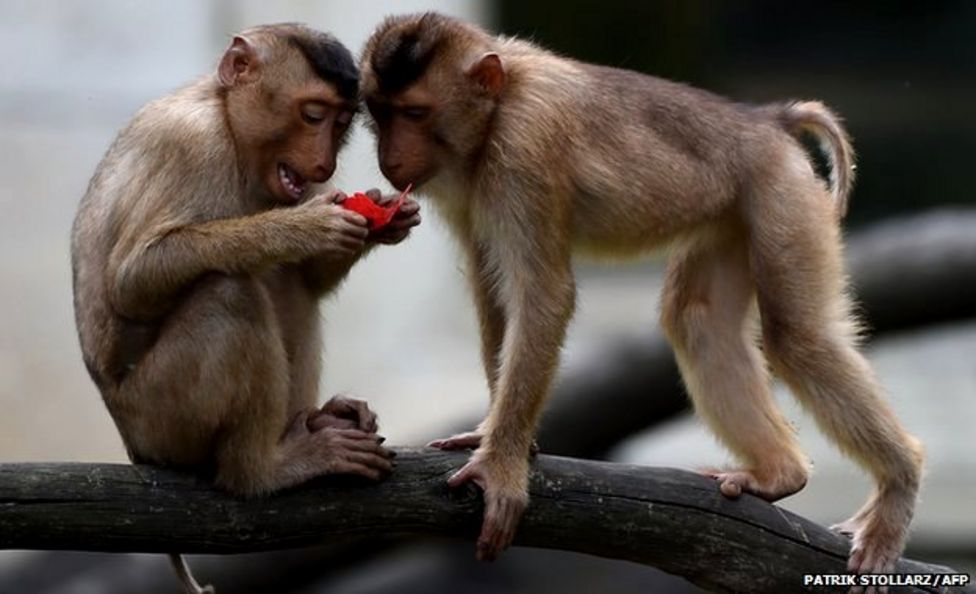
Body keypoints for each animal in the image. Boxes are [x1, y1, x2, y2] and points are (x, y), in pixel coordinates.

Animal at [71, 24, 420, 594]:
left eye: (342, 123)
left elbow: (309, 279)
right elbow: (131, 281)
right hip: (161, 415)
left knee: (287, 284)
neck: (229, 122)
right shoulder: (193, 144)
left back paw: (313, 422)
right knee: (229, 292)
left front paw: (383, 215)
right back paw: (262, 471)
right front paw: (299, 227)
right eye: (314, 115)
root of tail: (132, 443)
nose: (324, 162)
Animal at [359, 12, 924, 577]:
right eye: (380, 114)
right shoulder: (463, 187)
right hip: (732, 215)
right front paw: (494, 437)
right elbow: (492, 289)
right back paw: (779, 474)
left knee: (798, 338)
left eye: (415, 113)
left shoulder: (525, 145)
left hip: (781, 192)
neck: (497, 108)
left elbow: (542, 295)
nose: (389, 159)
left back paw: (900, 480)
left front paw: (499, 467)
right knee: (697, 319)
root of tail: (767, 119)